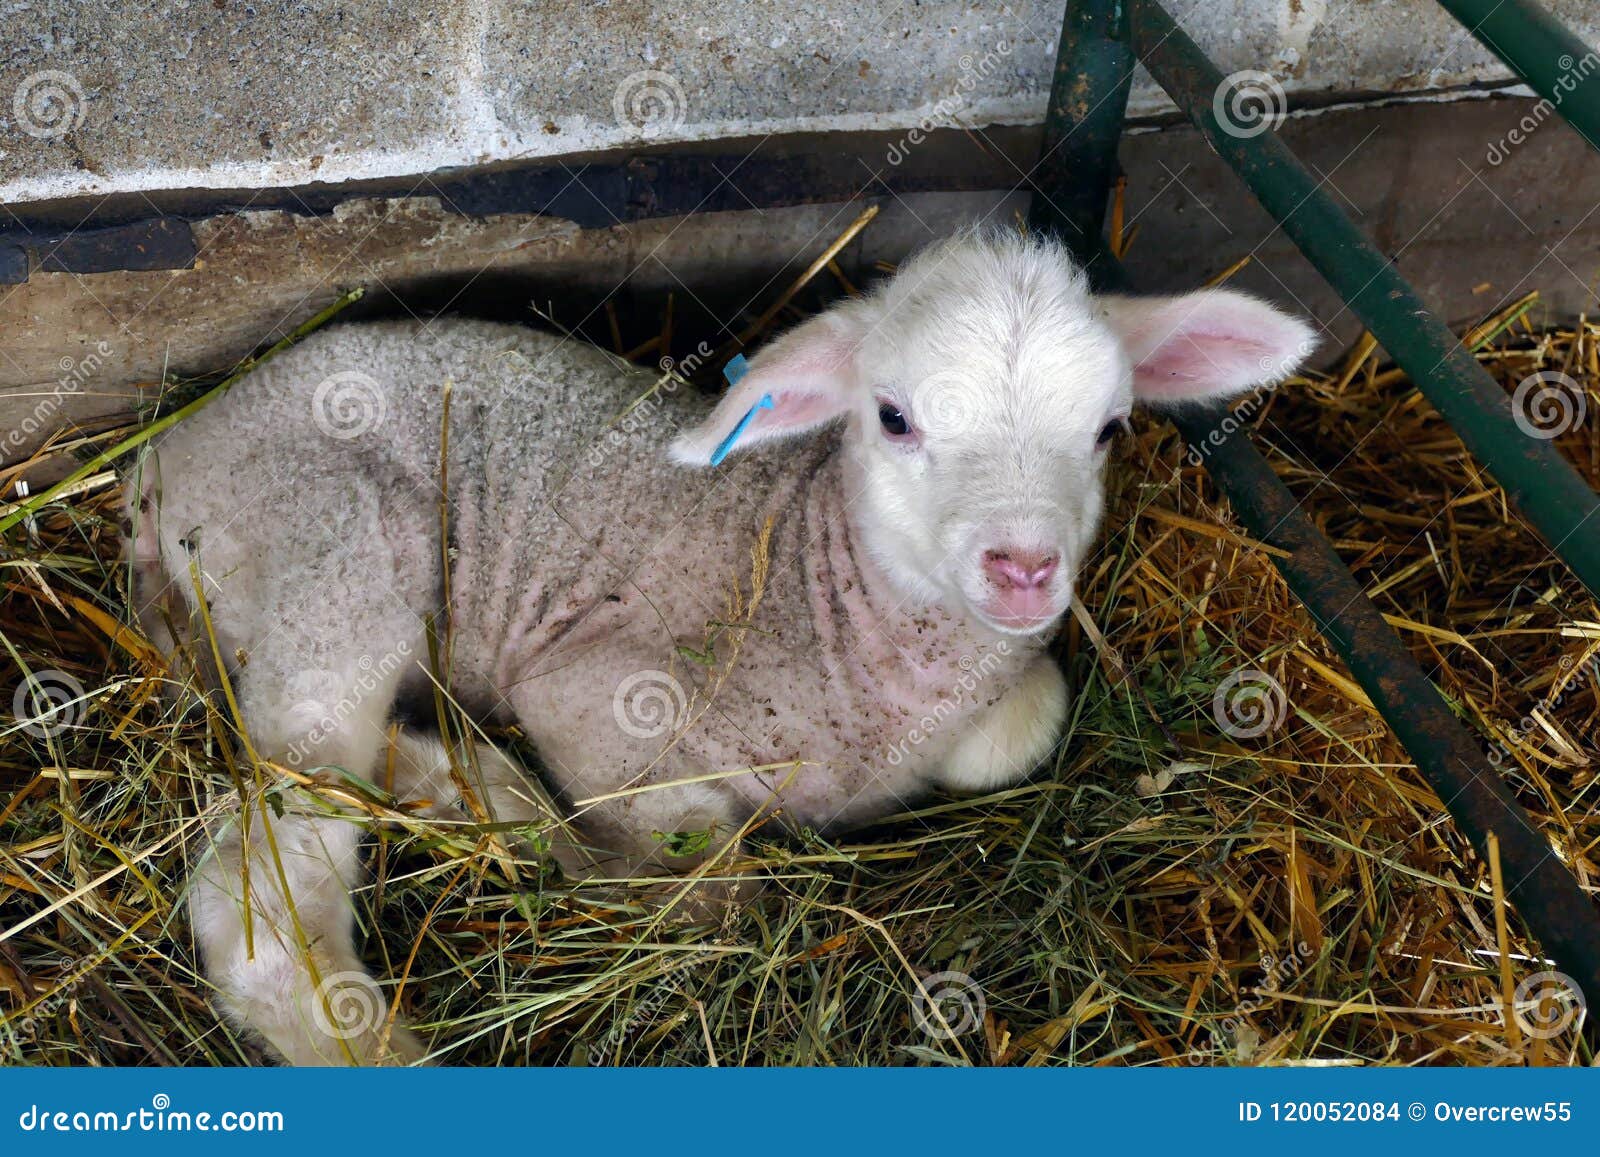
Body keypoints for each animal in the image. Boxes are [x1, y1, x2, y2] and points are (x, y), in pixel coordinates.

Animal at [123, 228, 1315, 1064]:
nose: (1023, 567)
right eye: (893, 416)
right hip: (341, 544)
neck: (823, 594)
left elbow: (1021, 723)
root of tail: (161, 458)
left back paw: (453, 784)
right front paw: (586, 858)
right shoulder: (595, 694)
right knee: (258, 888)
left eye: (1110, 427)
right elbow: (714, 893)